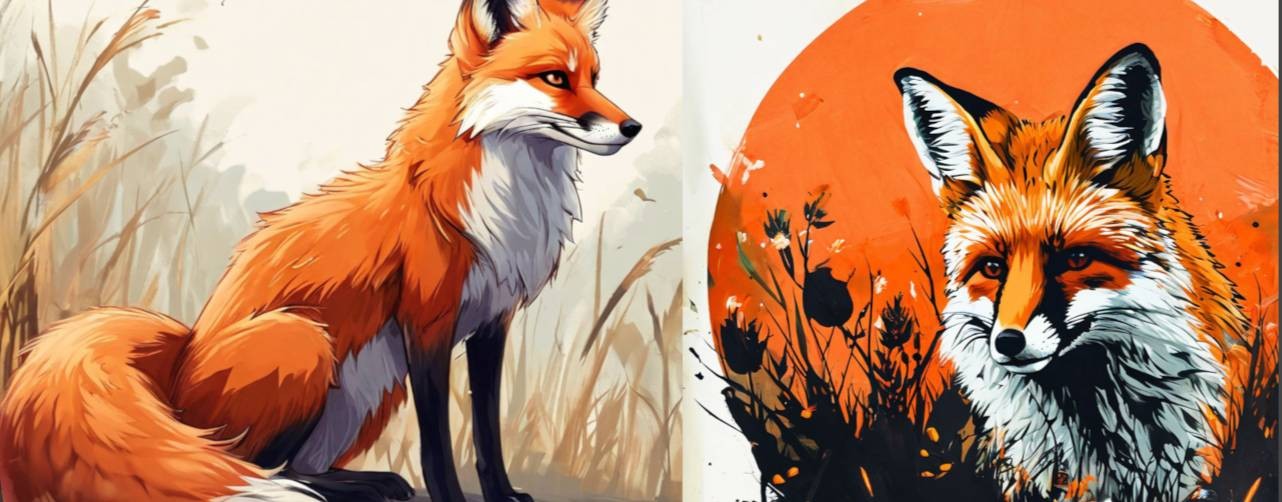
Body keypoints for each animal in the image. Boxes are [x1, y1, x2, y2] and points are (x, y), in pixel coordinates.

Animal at [0, 1, 639, 501]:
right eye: (554, 78)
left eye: (596, 75)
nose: (631, 127)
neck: (504, 205)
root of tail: (179, 362)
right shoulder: (426, 321)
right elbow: (437, 443)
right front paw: (452, 497)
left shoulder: (491, 322)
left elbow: (486, 432)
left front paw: (503, 494)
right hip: (304, 343)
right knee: (249, 465)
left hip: (369, 386)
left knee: (298, 463)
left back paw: (365, 482)